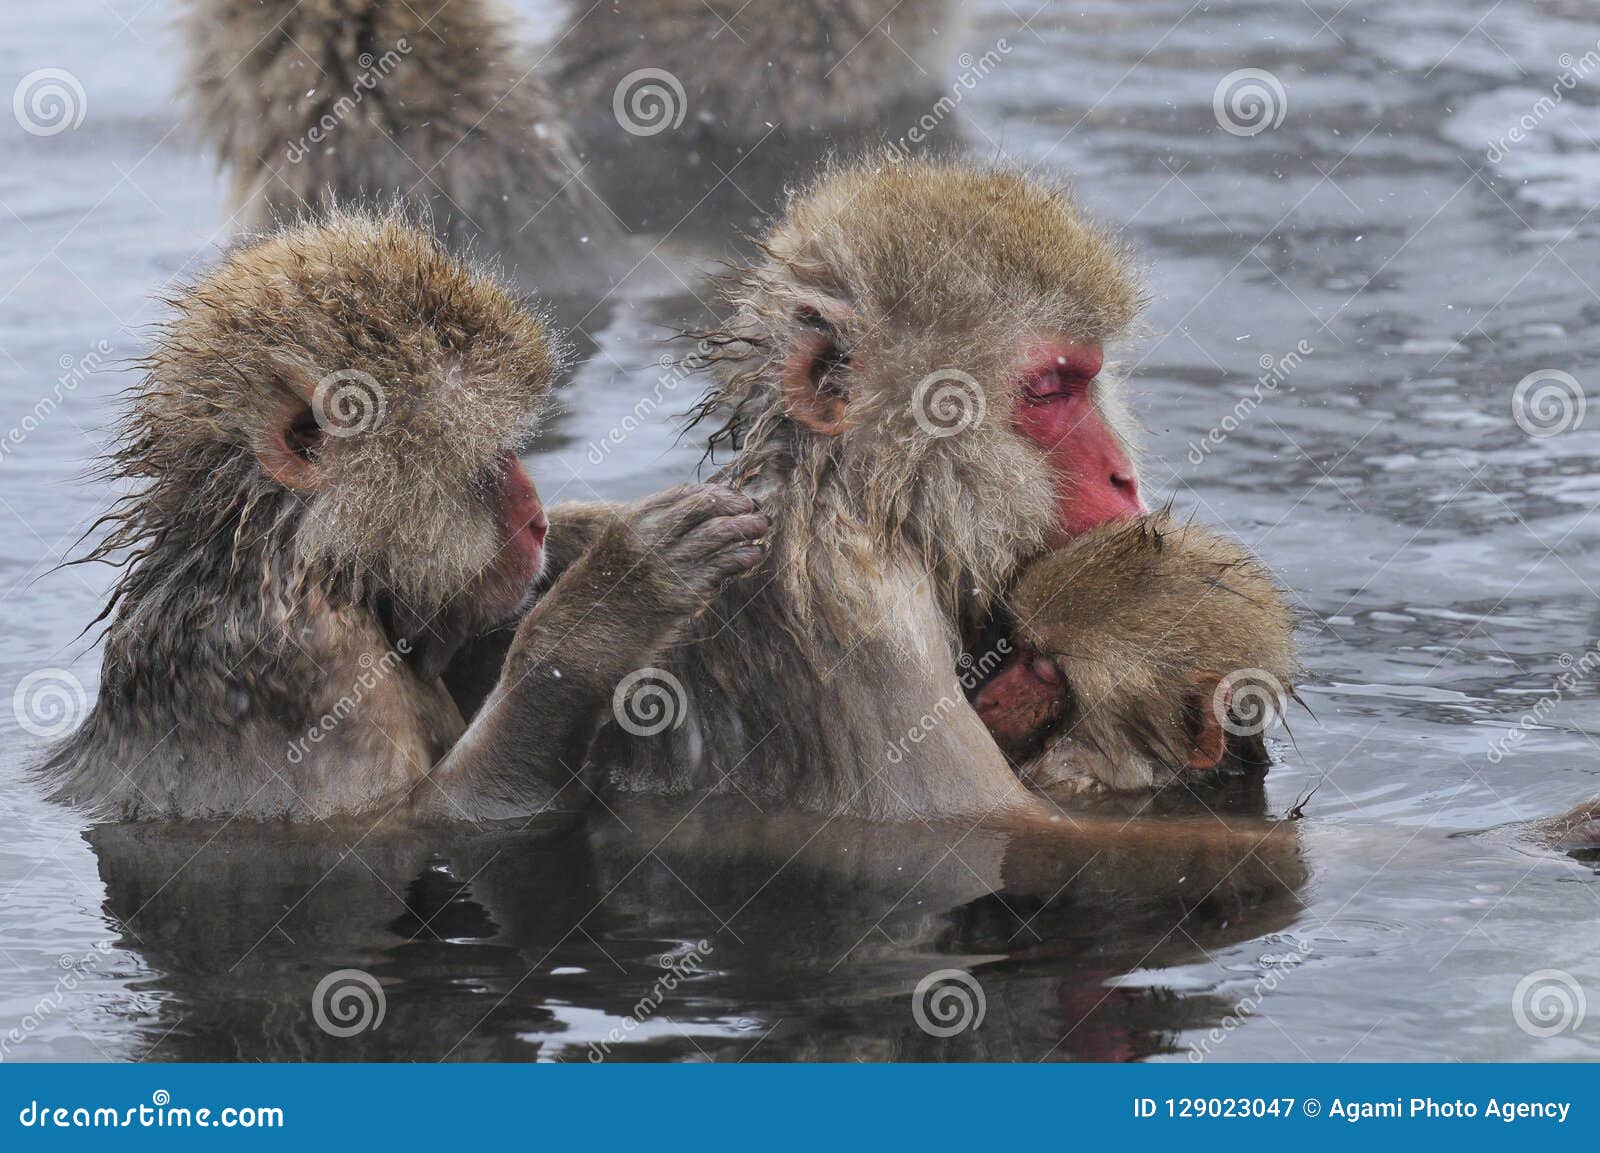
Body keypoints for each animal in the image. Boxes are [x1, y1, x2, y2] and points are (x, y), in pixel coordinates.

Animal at [39, 212, 767, 822]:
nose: (534, 522)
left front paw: (586, 531)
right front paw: (615, 596)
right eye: (489, 457)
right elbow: (427, 818)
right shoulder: (311, 670)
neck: (289, 561)